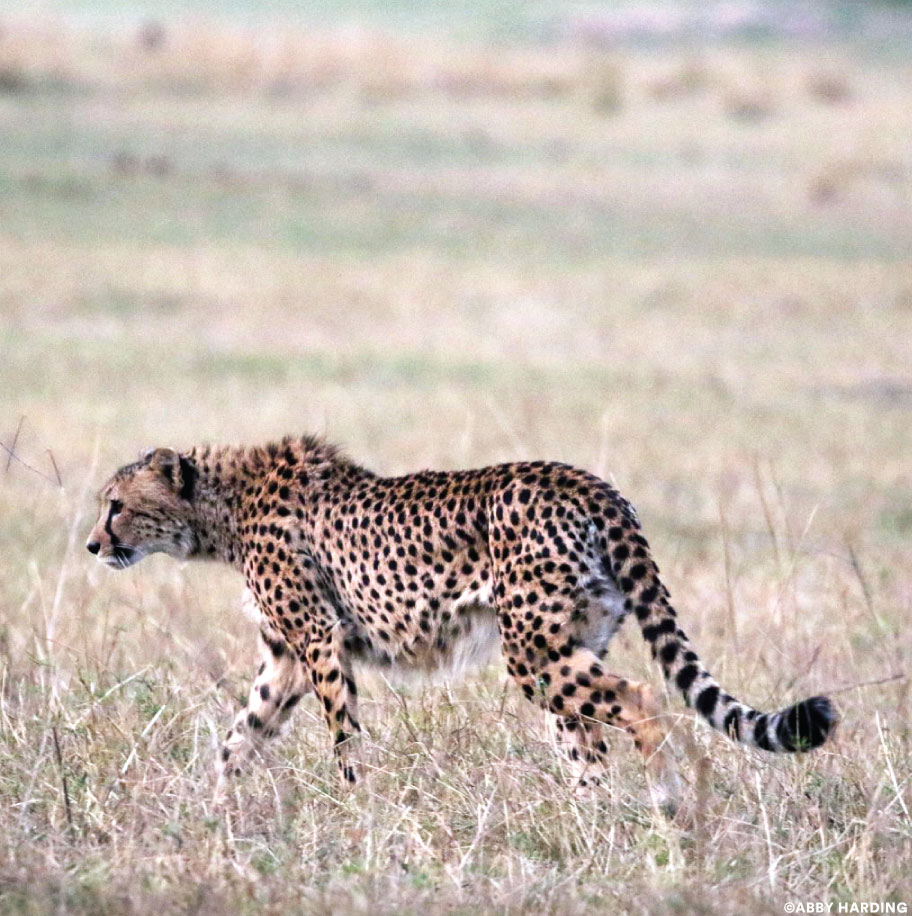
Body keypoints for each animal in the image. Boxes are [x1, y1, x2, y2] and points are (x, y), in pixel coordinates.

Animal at [86, 436, 837, 809]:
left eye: (116, 505)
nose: (93, 545)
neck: (223, 507)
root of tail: (592, 484)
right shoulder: (286, 657)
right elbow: (241, 735)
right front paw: (211, 808)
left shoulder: (321, 642)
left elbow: (342, 735)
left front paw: (357, 808)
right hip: (566, 645)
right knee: (588, 744)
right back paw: (589, 825)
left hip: (533, 653)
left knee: (642, 698)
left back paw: (664, 801)